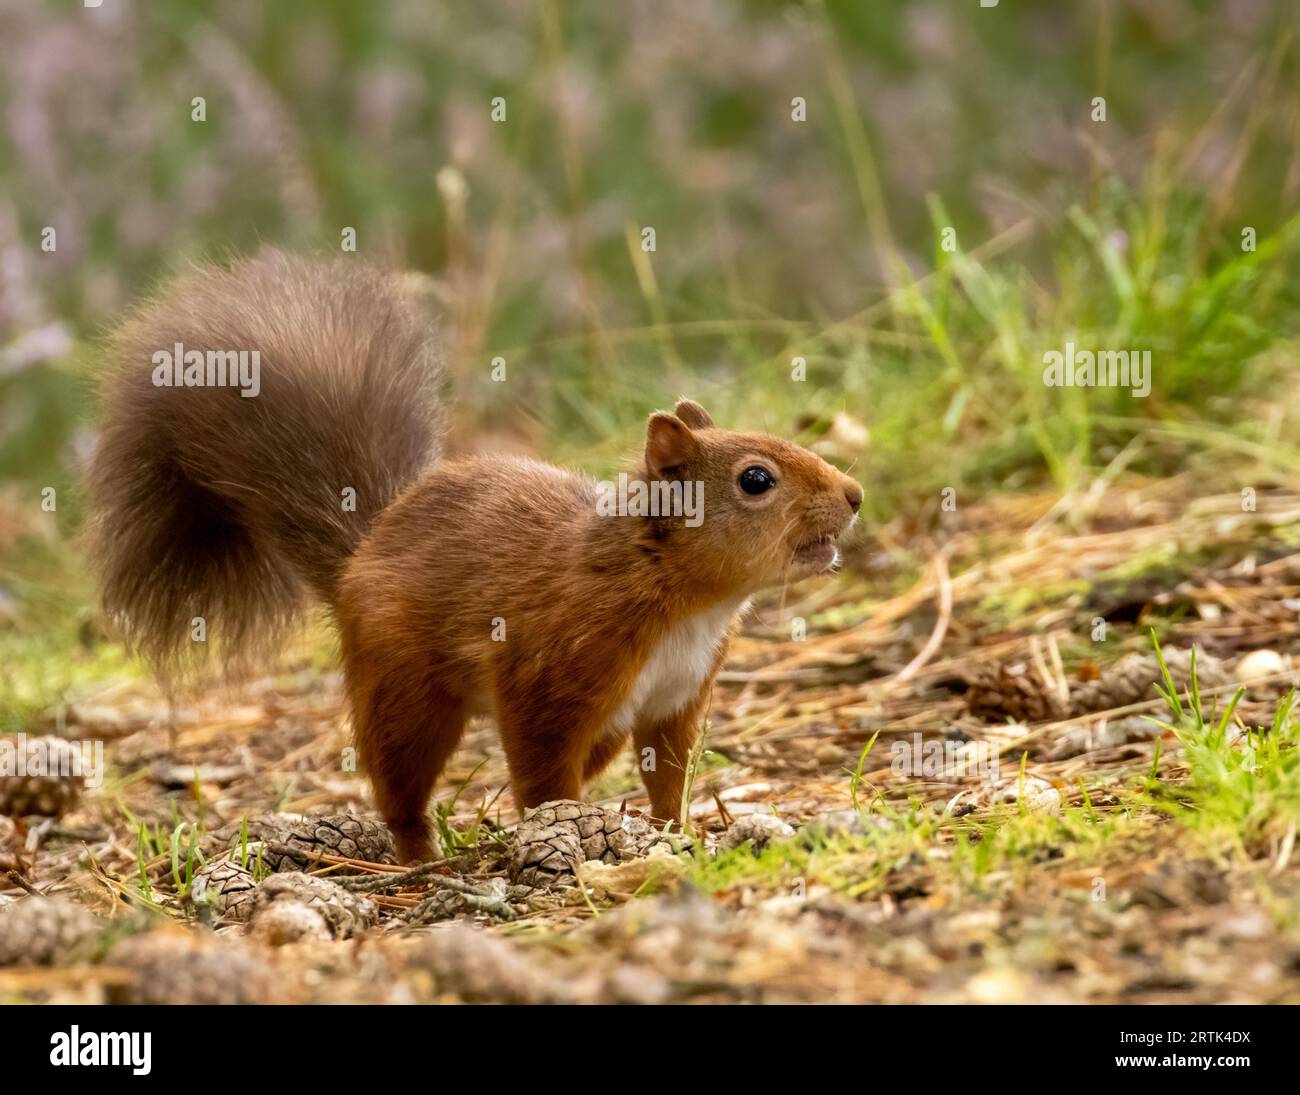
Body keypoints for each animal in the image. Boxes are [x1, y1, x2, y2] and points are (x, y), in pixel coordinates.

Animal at [85, 251, 863, 862]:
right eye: (756, 479)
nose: (855, 495)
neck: (682, 598)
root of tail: (362, 553)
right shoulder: (552, 673)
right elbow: (543, 771)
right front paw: (564, 836)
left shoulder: (677, 696)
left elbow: (668, 776)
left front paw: (679, 835)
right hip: (405, 689)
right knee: (399, 780)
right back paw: (420, 858)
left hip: (599, 724)